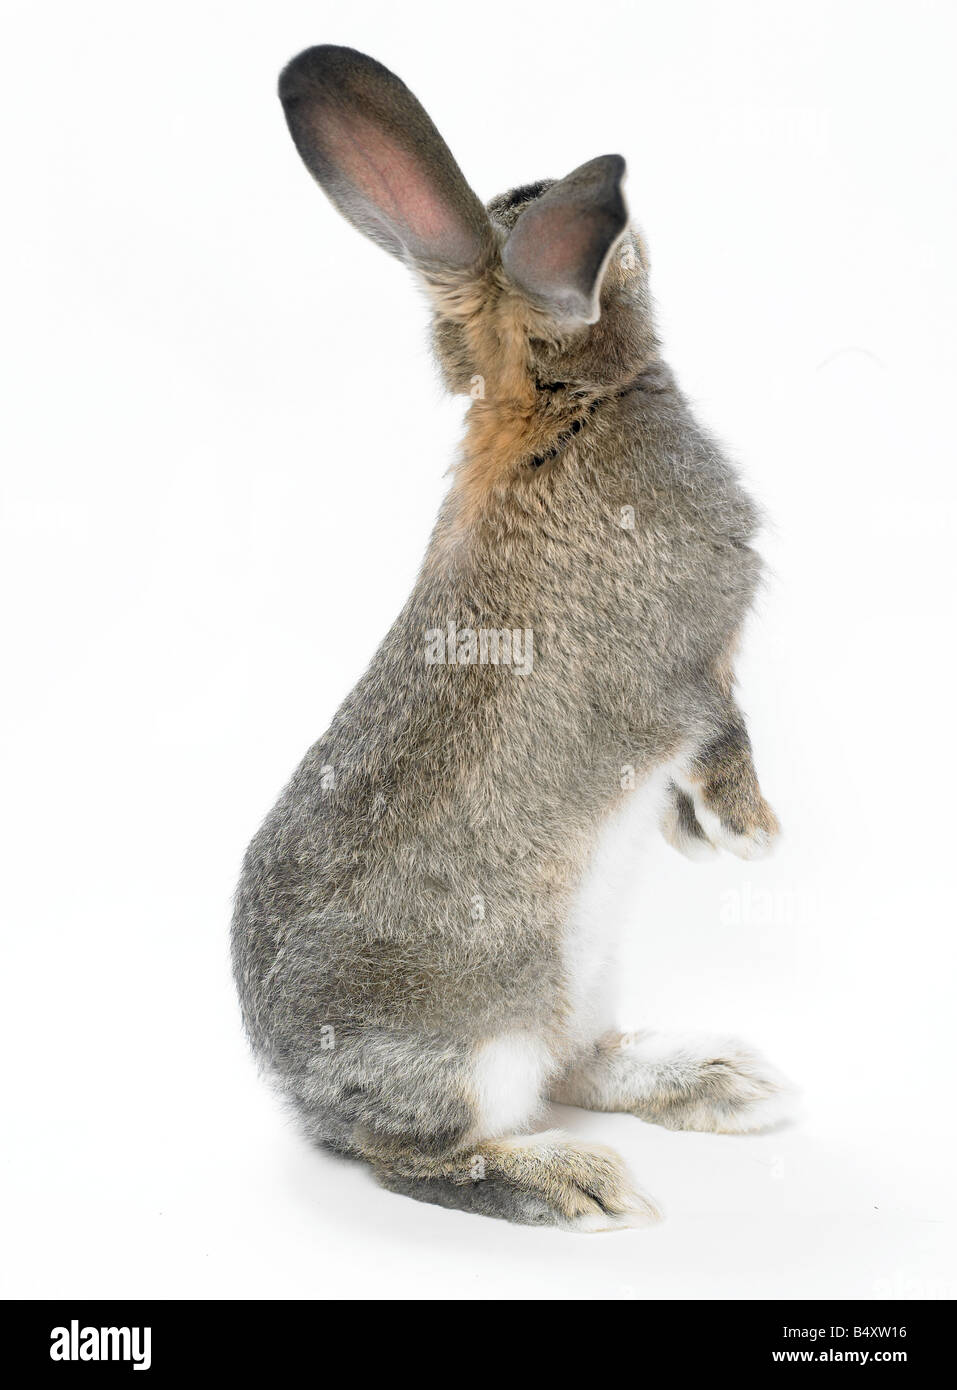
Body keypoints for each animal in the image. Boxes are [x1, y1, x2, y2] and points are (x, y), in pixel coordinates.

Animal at [232, 44, 793, 1231]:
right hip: (479, 1040)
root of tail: (298, 1091)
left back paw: (719, 1080)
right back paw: (573, 1180)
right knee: (420, 1154)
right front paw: (752, 840)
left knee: (579, 1062)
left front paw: (692, 842)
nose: (626, 211)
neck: (560, 408)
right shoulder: (692, 668)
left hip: (583, 980)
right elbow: (722, 744)